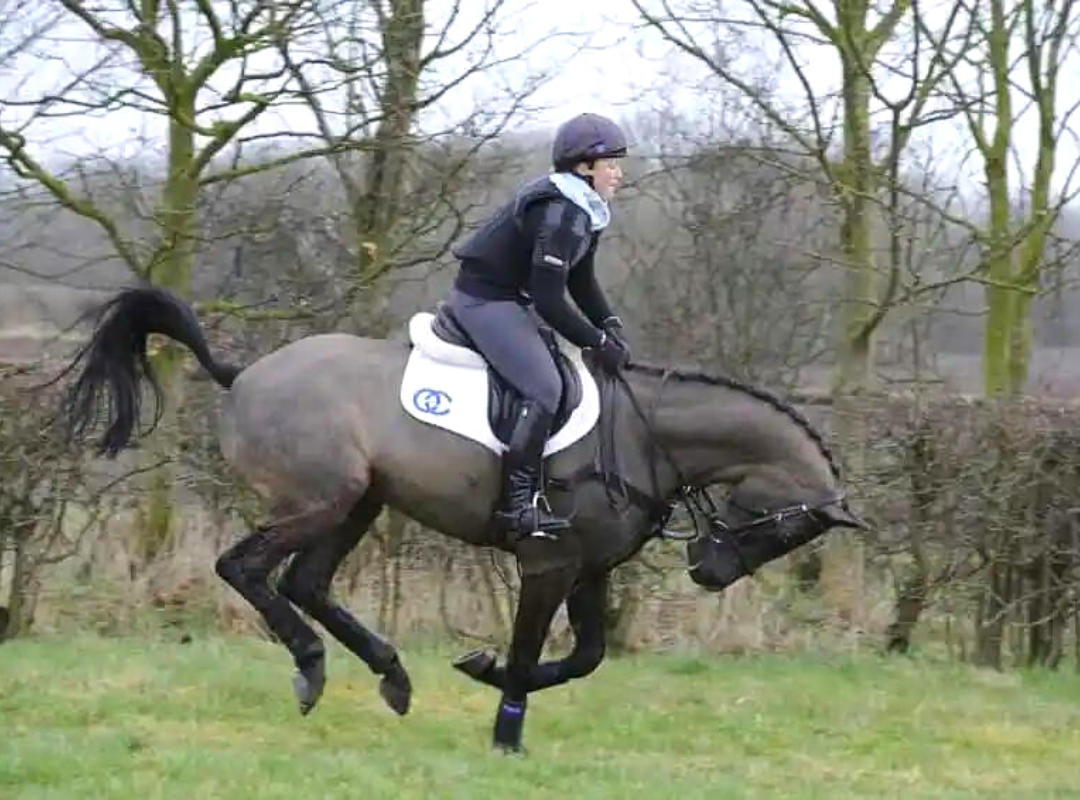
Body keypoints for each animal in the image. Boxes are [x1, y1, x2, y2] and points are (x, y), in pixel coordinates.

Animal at [60, 286, 864, 752]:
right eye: (784, 528)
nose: (709, 573)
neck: (646, 435)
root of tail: (244, 373)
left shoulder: (590, 570)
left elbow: (585, 656)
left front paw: (484, 671)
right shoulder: (548, 563)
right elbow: (538, 647)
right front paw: (506, 729)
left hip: (360, 501)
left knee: (306, 582)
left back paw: (390, 676)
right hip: (322, 499)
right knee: (246, 568)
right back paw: (312, 668)